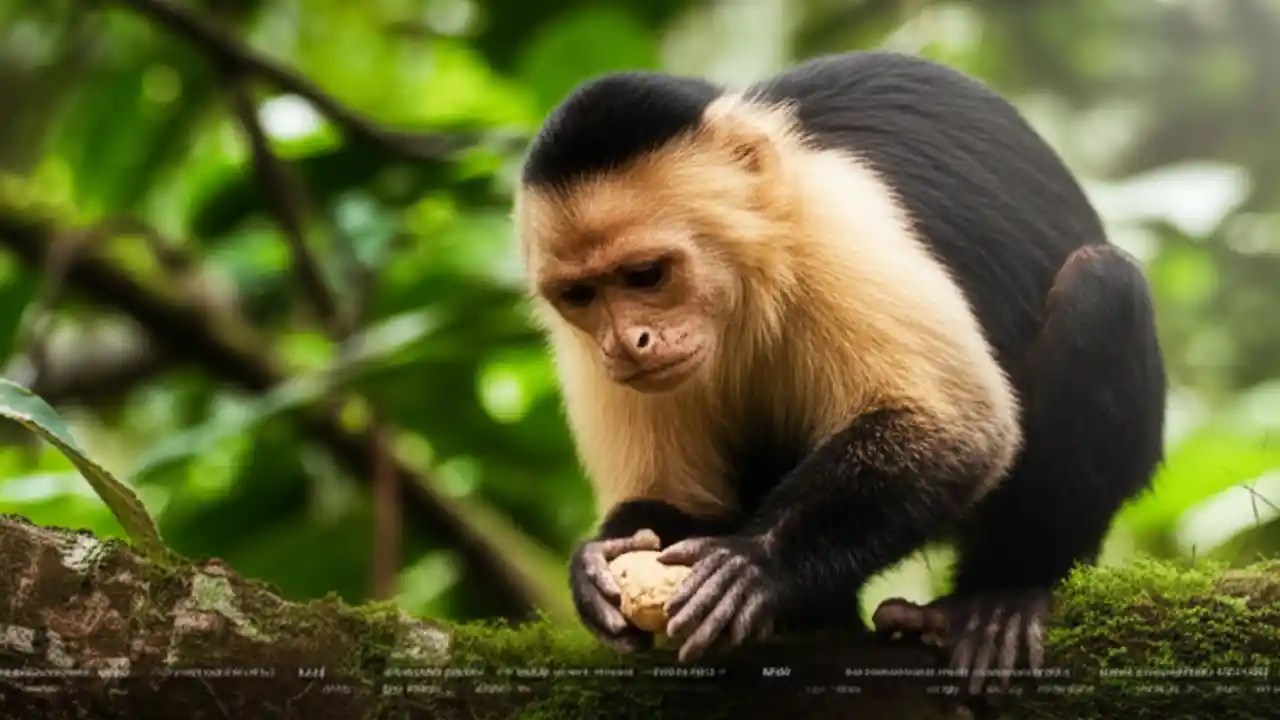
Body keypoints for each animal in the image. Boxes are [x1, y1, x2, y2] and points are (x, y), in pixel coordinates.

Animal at [513, 51, 1166, 692]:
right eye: (581, 295)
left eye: (646, 275)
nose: (628, 344)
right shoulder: (585, 346)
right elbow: (677, 498)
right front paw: (599, 559)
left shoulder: (831, 226)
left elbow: (957, 431)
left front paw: (757, 564)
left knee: (1103, 285)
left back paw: (1002, 596)